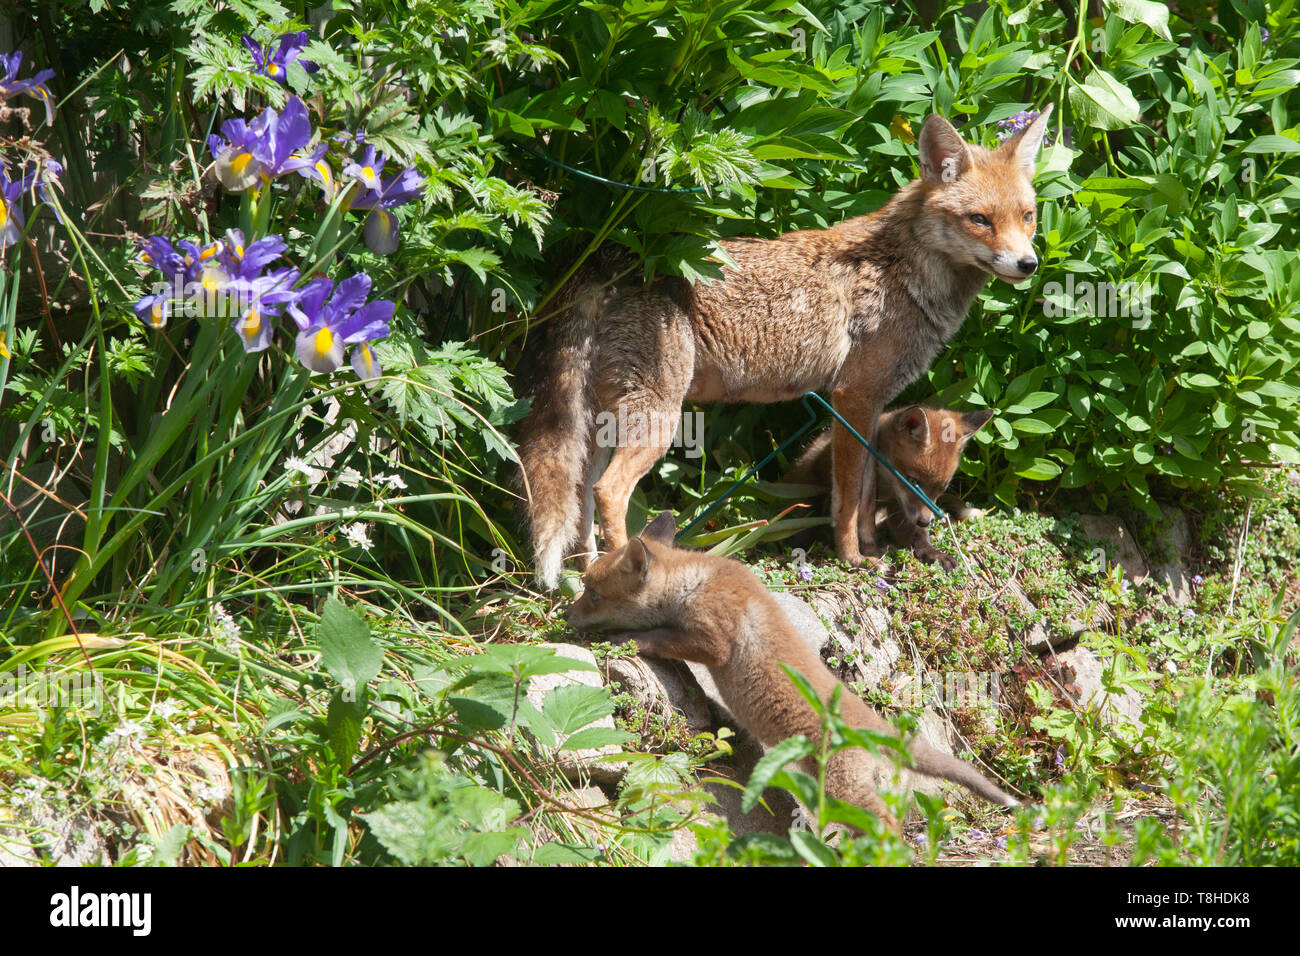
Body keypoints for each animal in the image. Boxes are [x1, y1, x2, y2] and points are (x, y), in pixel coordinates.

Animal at [565, 510, 1021, 831]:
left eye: (592, 593)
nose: (565, 615)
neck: (696, 579)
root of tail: (874, 721)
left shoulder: (714, 641)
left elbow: (659, 637)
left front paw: (627, 639)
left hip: (840, 788)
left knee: (885, 823)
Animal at [784, 405, 995, 570]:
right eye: (912, 481)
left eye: (941, 489)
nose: (925, 522)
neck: (886, 487)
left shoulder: (900, 509)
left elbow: (918, 537)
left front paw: (934, 554)